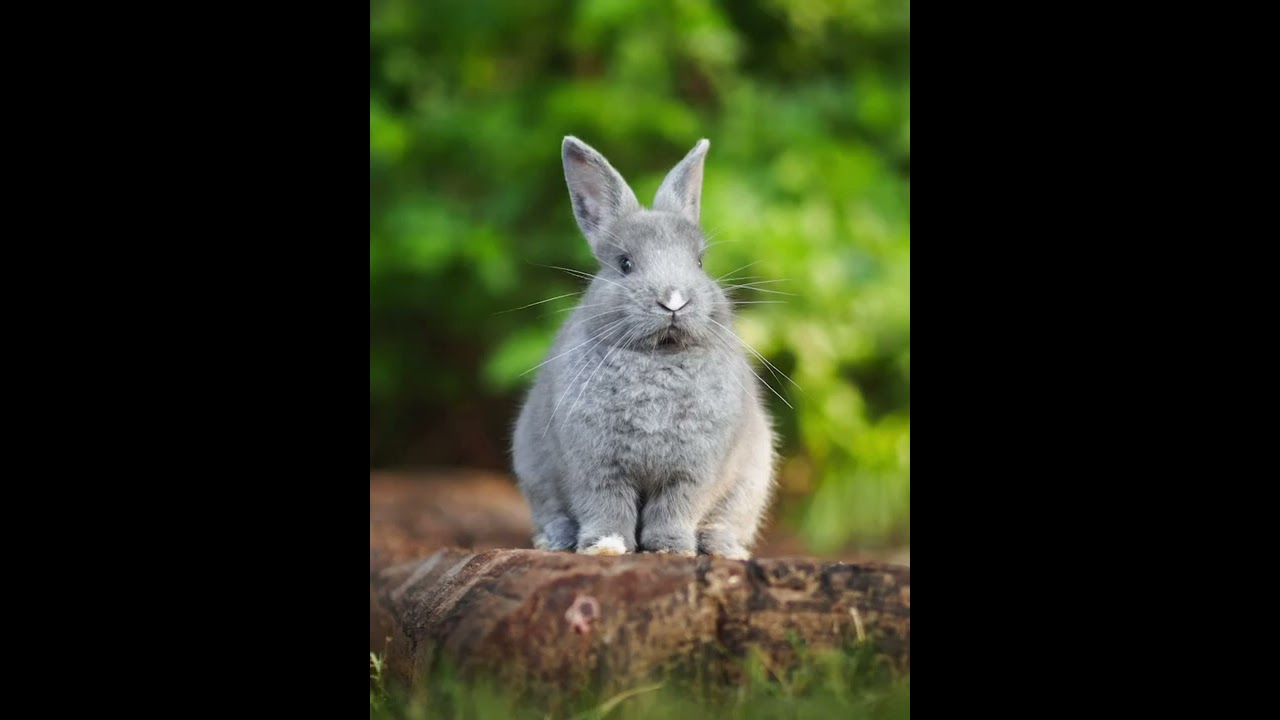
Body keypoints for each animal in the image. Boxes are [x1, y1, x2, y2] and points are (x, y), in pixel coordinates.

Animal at [511, 136, 777, 559]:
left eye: (699, 262)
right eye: (625, 264)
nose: (673, 300)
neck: (659, 356)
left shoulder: (692, 472)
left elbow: (675, 508)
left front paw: (671, 549)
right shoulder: (596, 468)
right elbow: (605, 506)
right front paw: (605, 547)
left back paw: (723, 549)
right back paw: (554, 541)